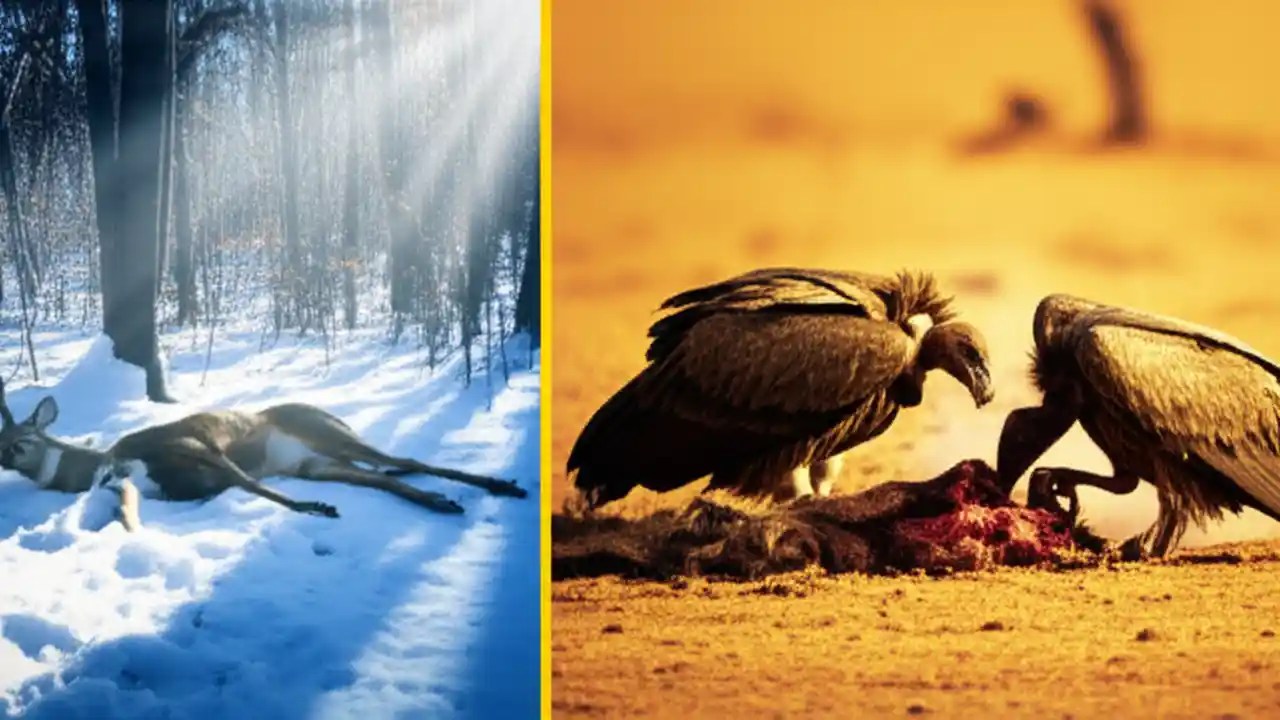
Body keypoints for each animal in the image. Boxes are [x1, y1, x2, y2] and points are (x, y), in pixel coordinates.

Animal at [0, 380, 526, 532]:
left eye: (22, 438)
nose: (4, 457)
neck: (110, 462)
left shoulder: (197, 446)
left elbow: (256, 487)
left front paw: (317, 510)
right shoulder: (187, 485)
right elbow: (249, 486)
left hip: (330, 437)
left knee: (409, 463)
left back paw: (500, 485)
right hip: (317, 464)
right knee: (388, 477)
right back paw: (443, 502)